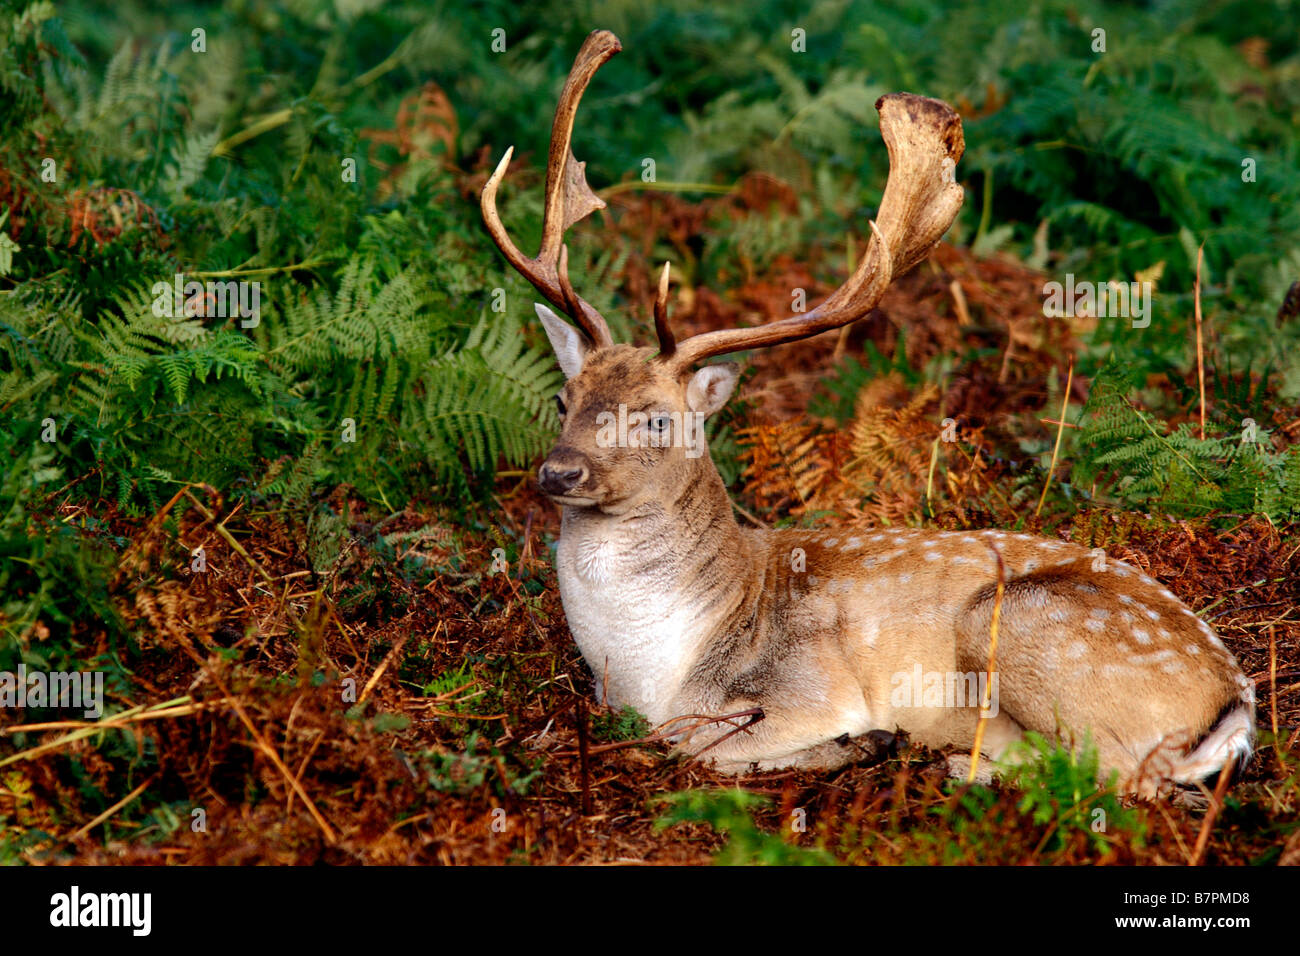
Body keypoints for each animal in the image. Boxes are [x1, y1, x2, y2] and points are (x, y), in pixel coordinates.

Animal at [480, 29, 1256, 796]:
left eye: (657, 419)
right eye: (564, 398)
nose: (559, 471)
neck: (646, 670)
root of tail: (1235, 698)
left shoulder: (809, 688)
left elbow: (688, 742)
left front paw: (860, 741)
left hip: (1026, 627)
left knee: (1124, 776)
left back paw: (950, 759)